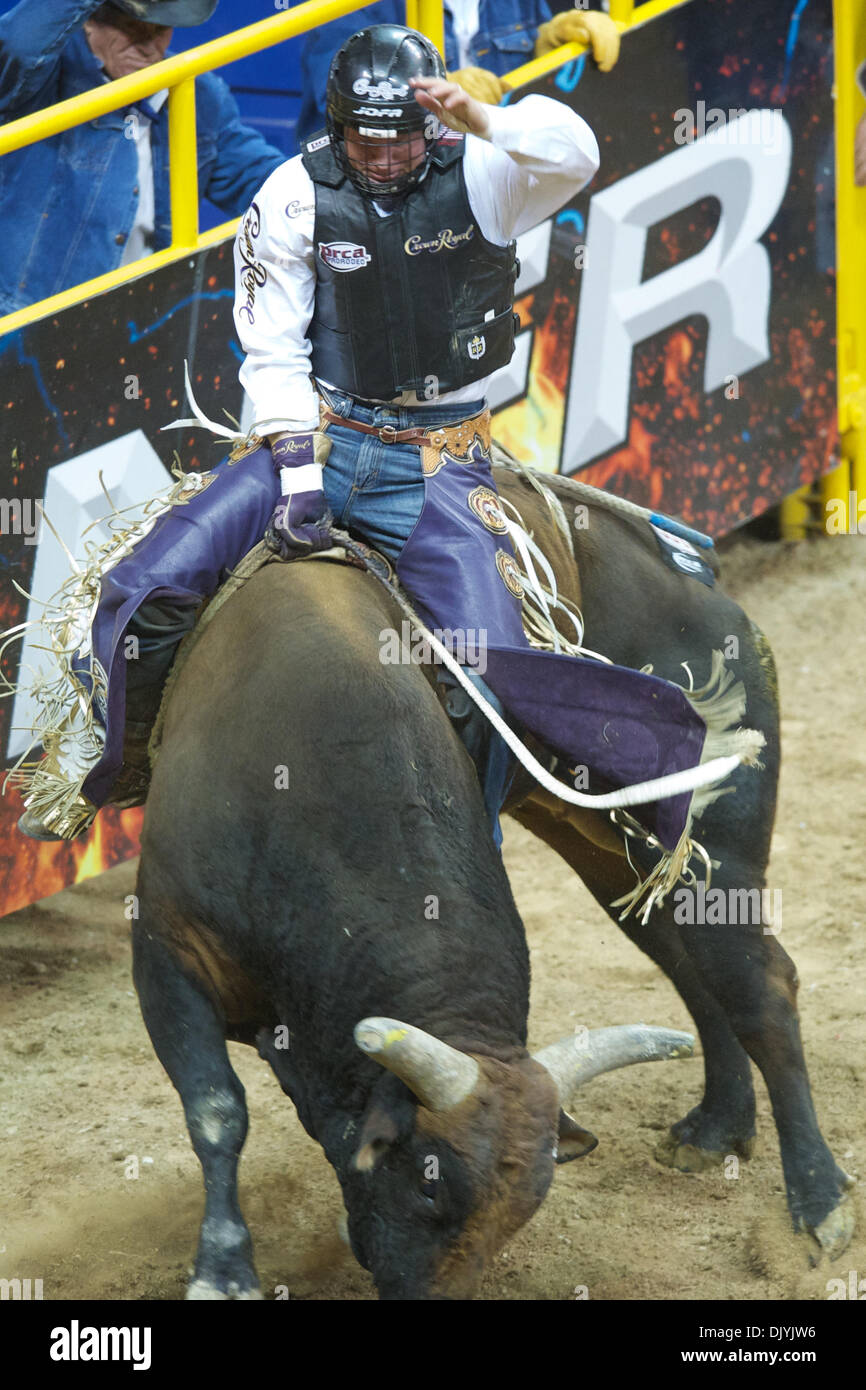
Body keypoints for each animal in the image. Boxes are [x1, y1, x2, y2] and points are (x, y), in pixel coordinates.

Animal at [130, 462, 854, 1299]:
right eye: (428, 1186)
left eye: (522, 1210)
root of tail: (705, 591)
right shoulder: (166, 949)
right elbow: (218, 1110)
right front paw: (224, 1271)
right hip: (616, 849)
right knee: (690, 964)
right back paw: (717, 1129)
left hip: (720, 838)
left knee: (758, 987)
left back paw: (819, 1200)